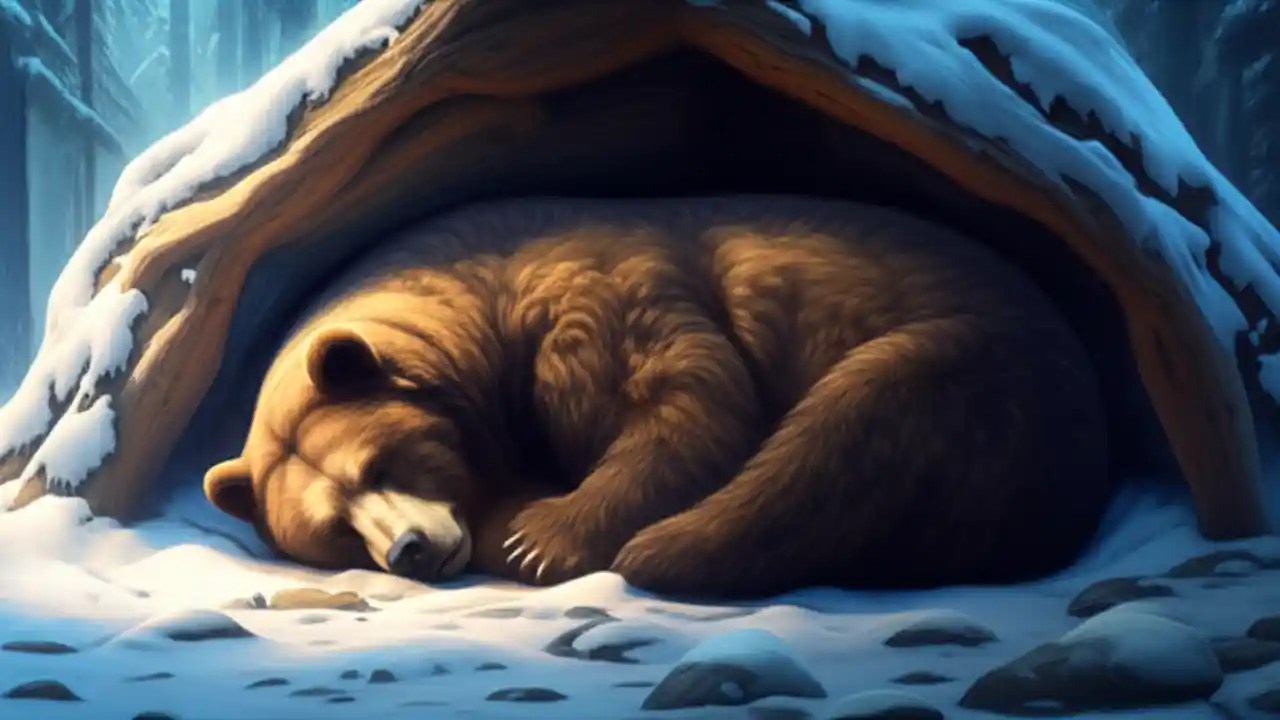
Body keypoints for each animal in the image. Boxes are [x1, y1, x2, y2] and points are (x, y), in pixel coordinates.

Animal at [202, 195, 1112, 599]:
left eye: (383, 462)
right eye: (334, 528)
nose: (410, 551)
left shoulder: (587, 297)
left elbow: (682, 399)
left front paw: (541, 535)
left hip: (966, 377)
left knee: (838, 444)